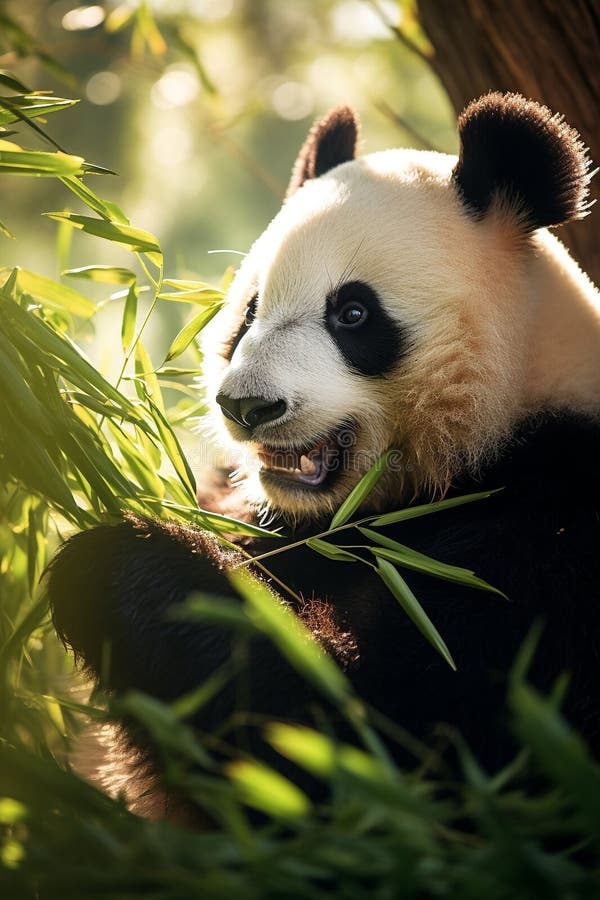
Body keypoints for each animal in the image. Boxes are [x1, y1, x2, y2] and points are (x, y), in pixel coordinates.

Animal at [48, 93, 600, 815]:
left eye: (354, 313)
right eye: (248, 312)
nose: (248, 406)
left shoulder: (545, 540)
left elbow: (380, 746)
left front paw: (108, 564)